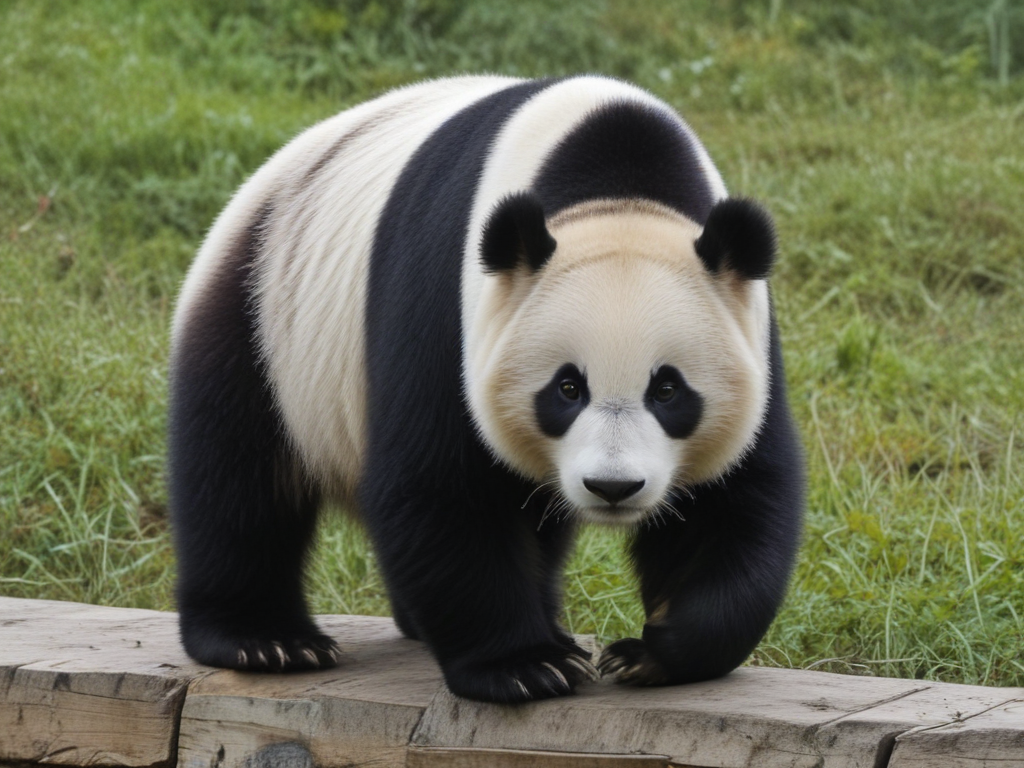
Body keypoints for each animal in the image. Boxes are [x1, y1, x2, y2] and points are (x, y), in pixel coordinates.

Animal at [169, 75, 804, 704]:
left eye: (668, 391)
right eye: (567, 388)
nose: (613, 487)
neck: (618, 188)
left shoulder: (749, 328)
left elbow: (734, 503)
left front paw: (653, 653)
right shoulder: (450, 302)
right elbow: (442, 484)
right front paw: (523, 667)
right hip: (265, 317)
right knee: (238, 476)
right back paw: (267, 642)